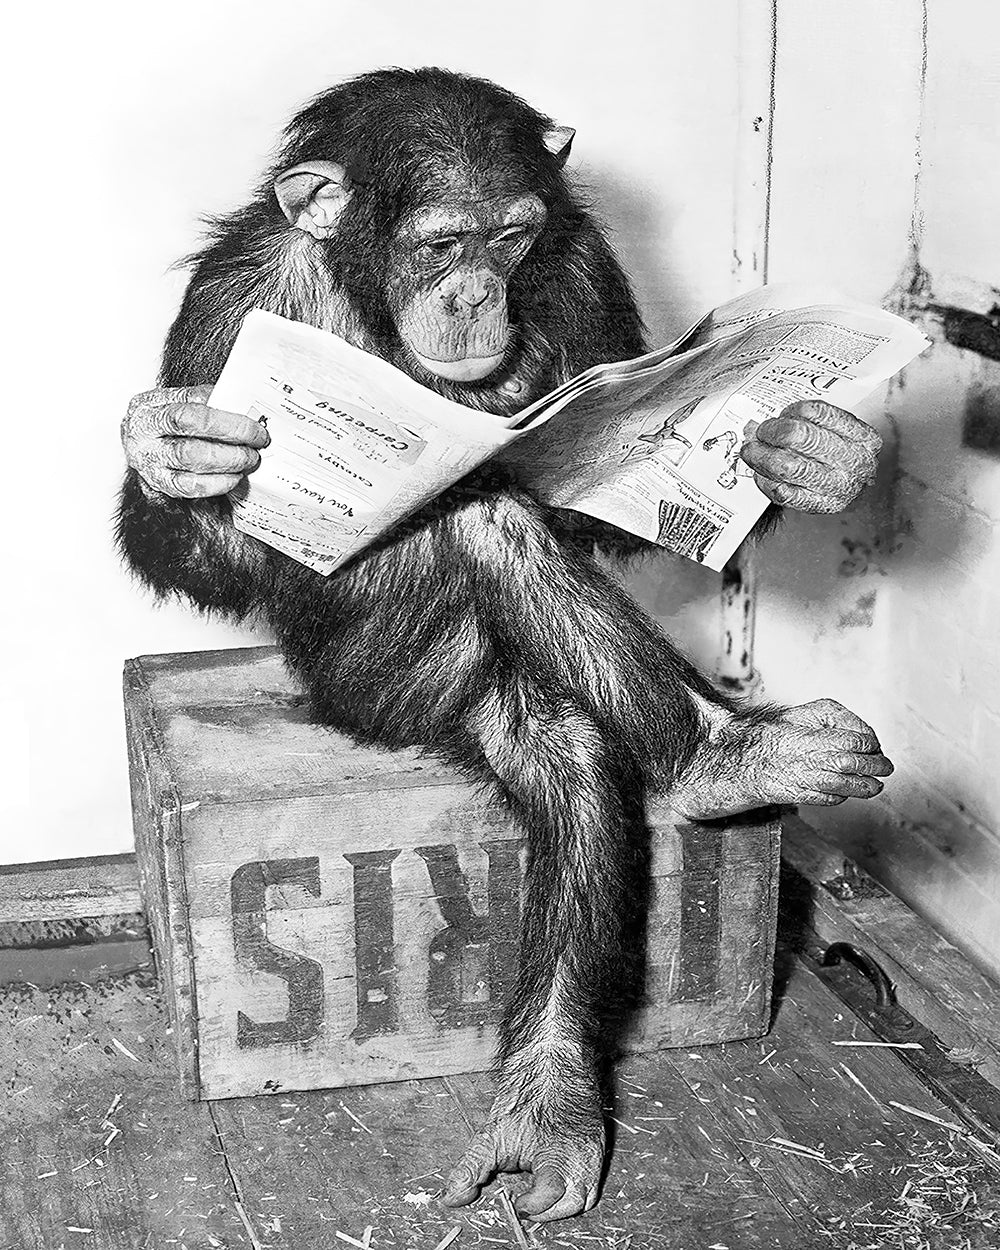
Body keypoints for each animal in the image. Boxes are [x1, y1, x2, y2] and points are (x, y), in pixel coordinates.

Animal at [117, 68, 891, 1223]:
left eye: (513, 236)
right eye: (441, 243)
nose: (477, 293)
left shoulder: (580, 265)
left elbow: (595, 503)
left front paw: (807, 451)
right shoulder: (229, 298)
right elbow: (207, 548)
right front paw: (174, 450)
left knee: (560, 723)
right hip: (385, 681)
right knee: (481, 531)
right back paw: (720, 762)